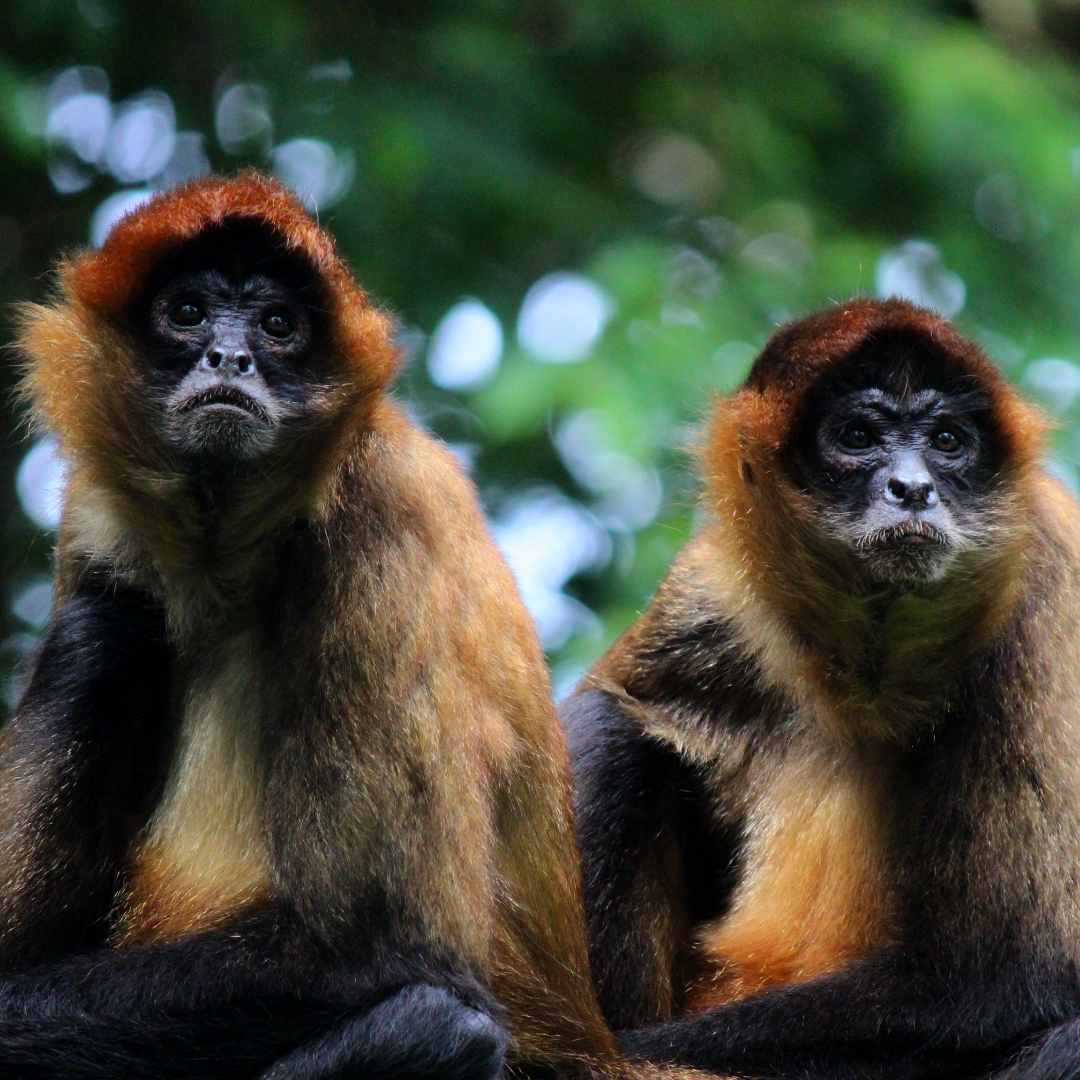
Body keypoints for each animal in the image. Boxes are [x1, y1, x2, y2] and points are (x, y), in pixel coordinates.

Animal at [3, 172, 704, 1080]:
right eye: (188, 312)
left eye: (276, 325)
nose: (230, 358)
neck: (230, 559)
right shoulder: (95, 521)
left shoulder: (382, 507)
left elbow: (381, 949)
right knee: (102, 631)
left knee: (439, 1025)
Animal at [561, 297, 1080, 1079]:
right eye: (858, 436)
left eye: (948, 442)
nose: (913, 488)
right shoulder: (710, 586)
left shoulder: (1045, 578)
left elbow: (1007, 980)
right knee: (611, 729)